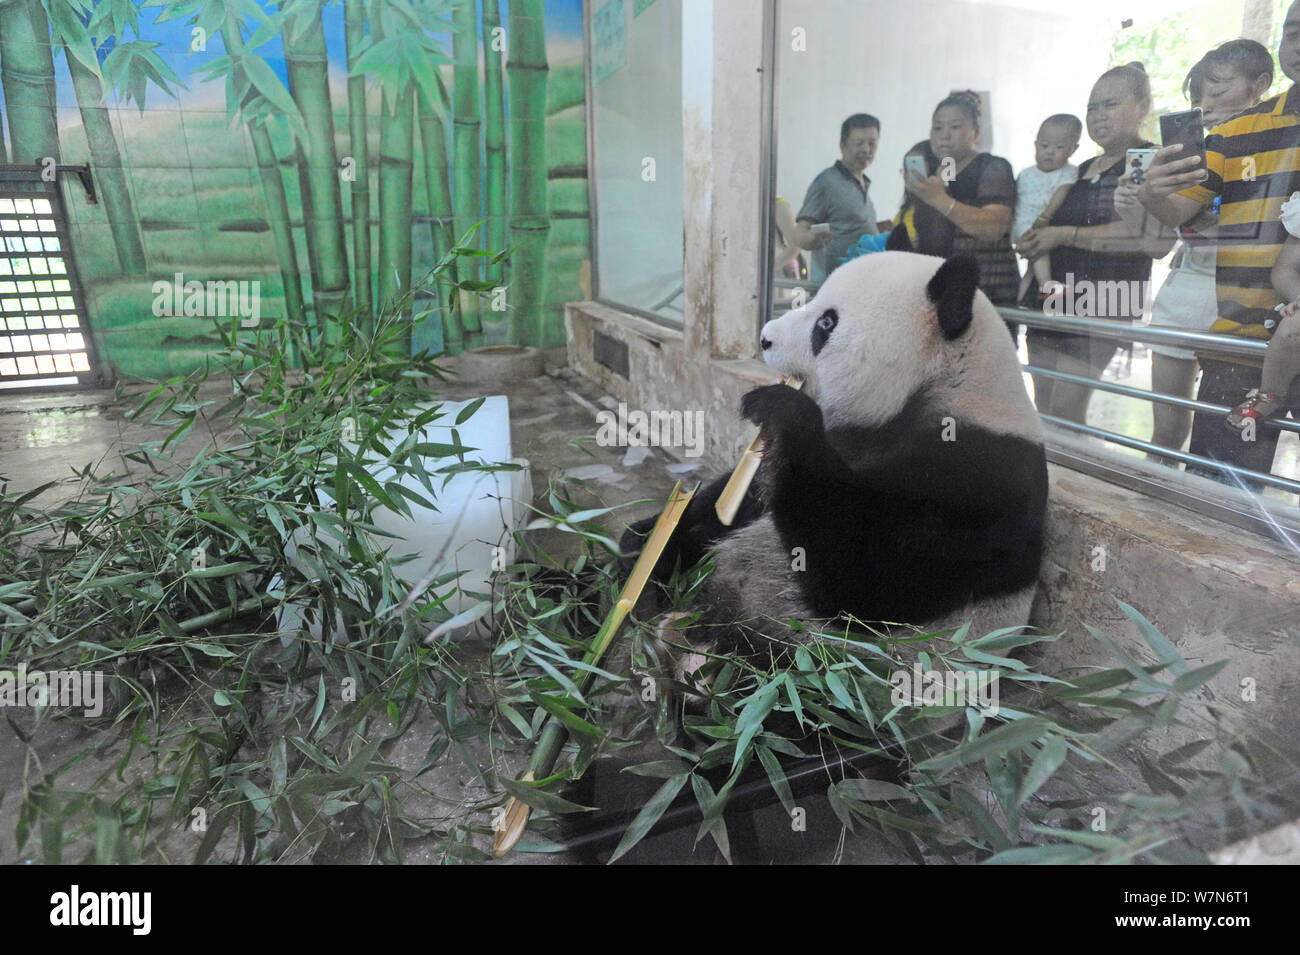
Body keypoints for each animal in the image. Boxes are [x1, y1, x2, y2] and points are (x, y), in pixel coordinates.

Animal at [563, 251, 1048, 862]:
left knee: (768, 750)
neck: (949, 384)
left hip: (833, 696)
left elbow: (862, 580)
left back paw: (613, 799)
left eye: (826, 324)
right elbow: (740, 502)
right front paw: (649, 534)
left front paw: (778, 407)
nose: (765, 339)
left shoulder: (980, 477)